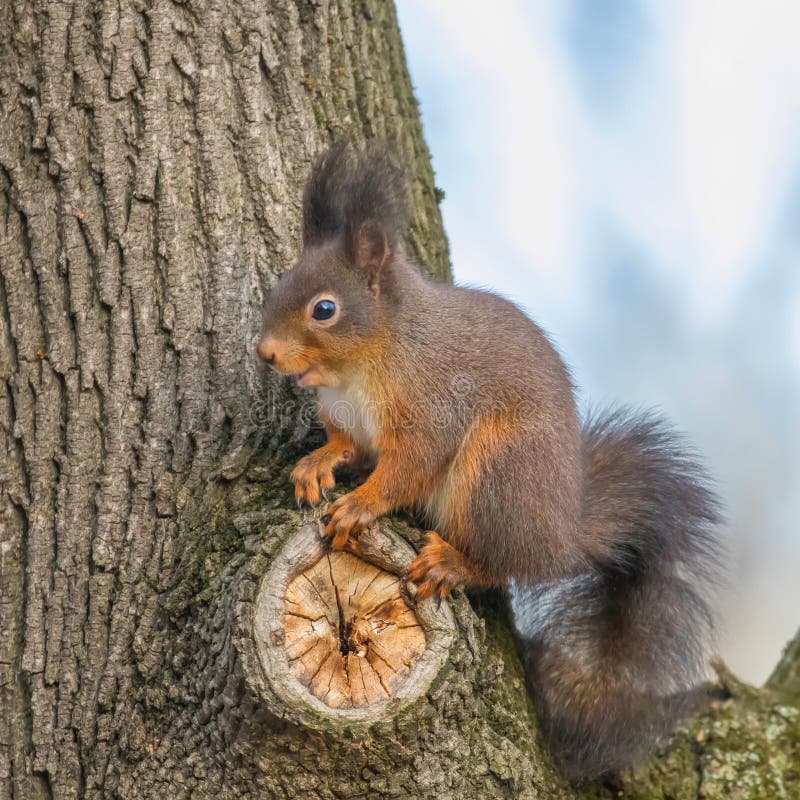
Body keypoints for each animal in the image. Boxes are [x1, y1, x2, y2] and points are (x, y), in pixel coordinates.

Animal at [257, 142, 723, 781]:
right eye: (280, 283)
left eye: (323, 309)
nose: (265, 353)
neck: (368, 360)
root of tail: (563, 536)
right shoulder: (349, 417)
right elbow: (348, 446)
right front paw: (319, 463)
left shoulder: (433, 405)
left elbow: (408, 467)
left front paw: (359, 505)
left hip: (498, 472)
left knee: (504, 566)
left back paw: (453, 563)